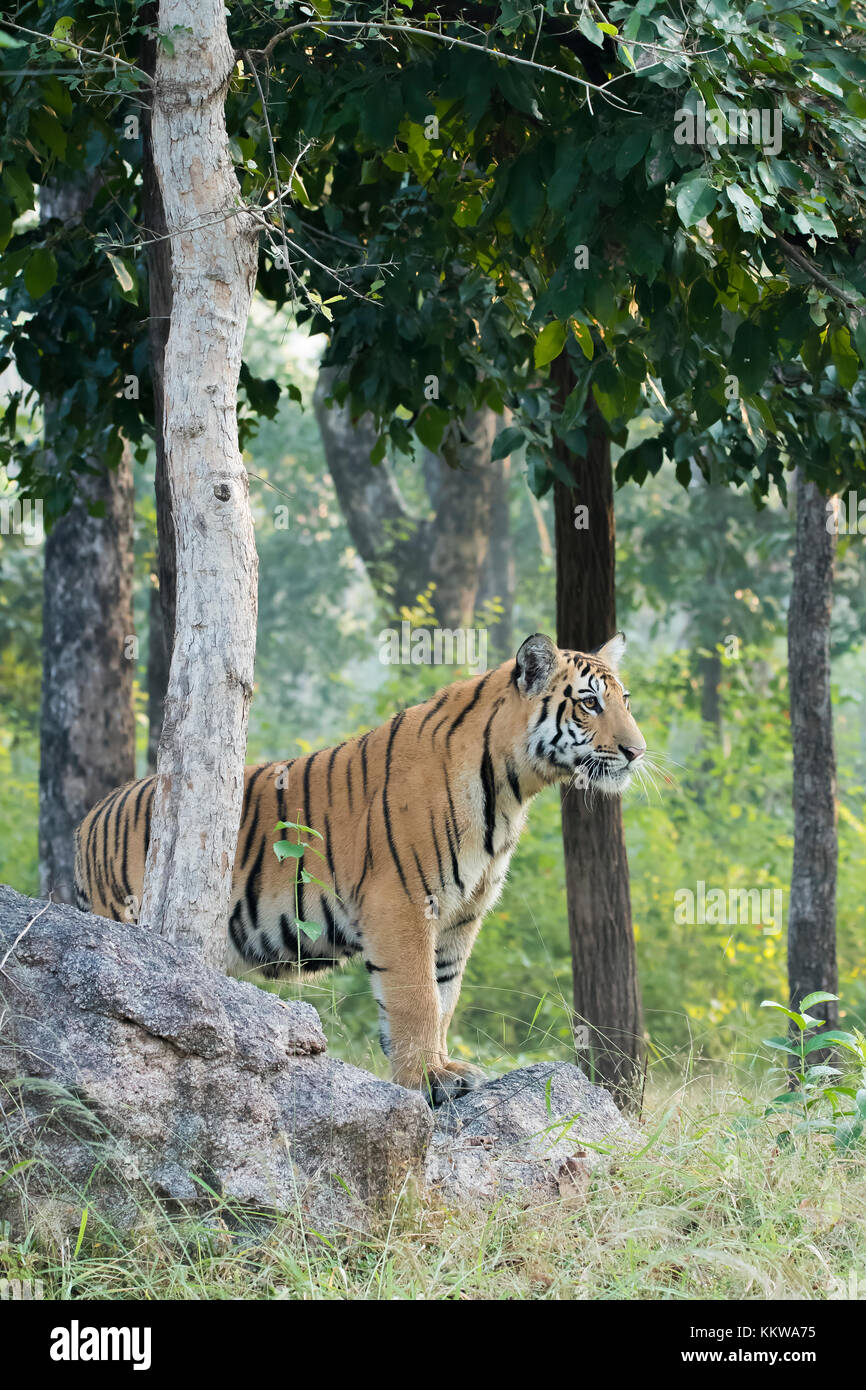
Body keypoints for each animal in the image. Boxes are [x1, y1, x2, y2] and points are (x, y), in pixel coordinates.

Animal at [74, 631, 646, 1105]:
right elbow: (416, 999)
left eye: (624, 701)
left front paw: (444, 1071)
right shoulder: (404, 902)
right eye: (590, 702)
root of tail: (92, 814)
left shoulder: (461, 918)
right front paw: (428, 1080)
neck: (511, 789)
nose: (637, 752)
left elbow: (444, 996)